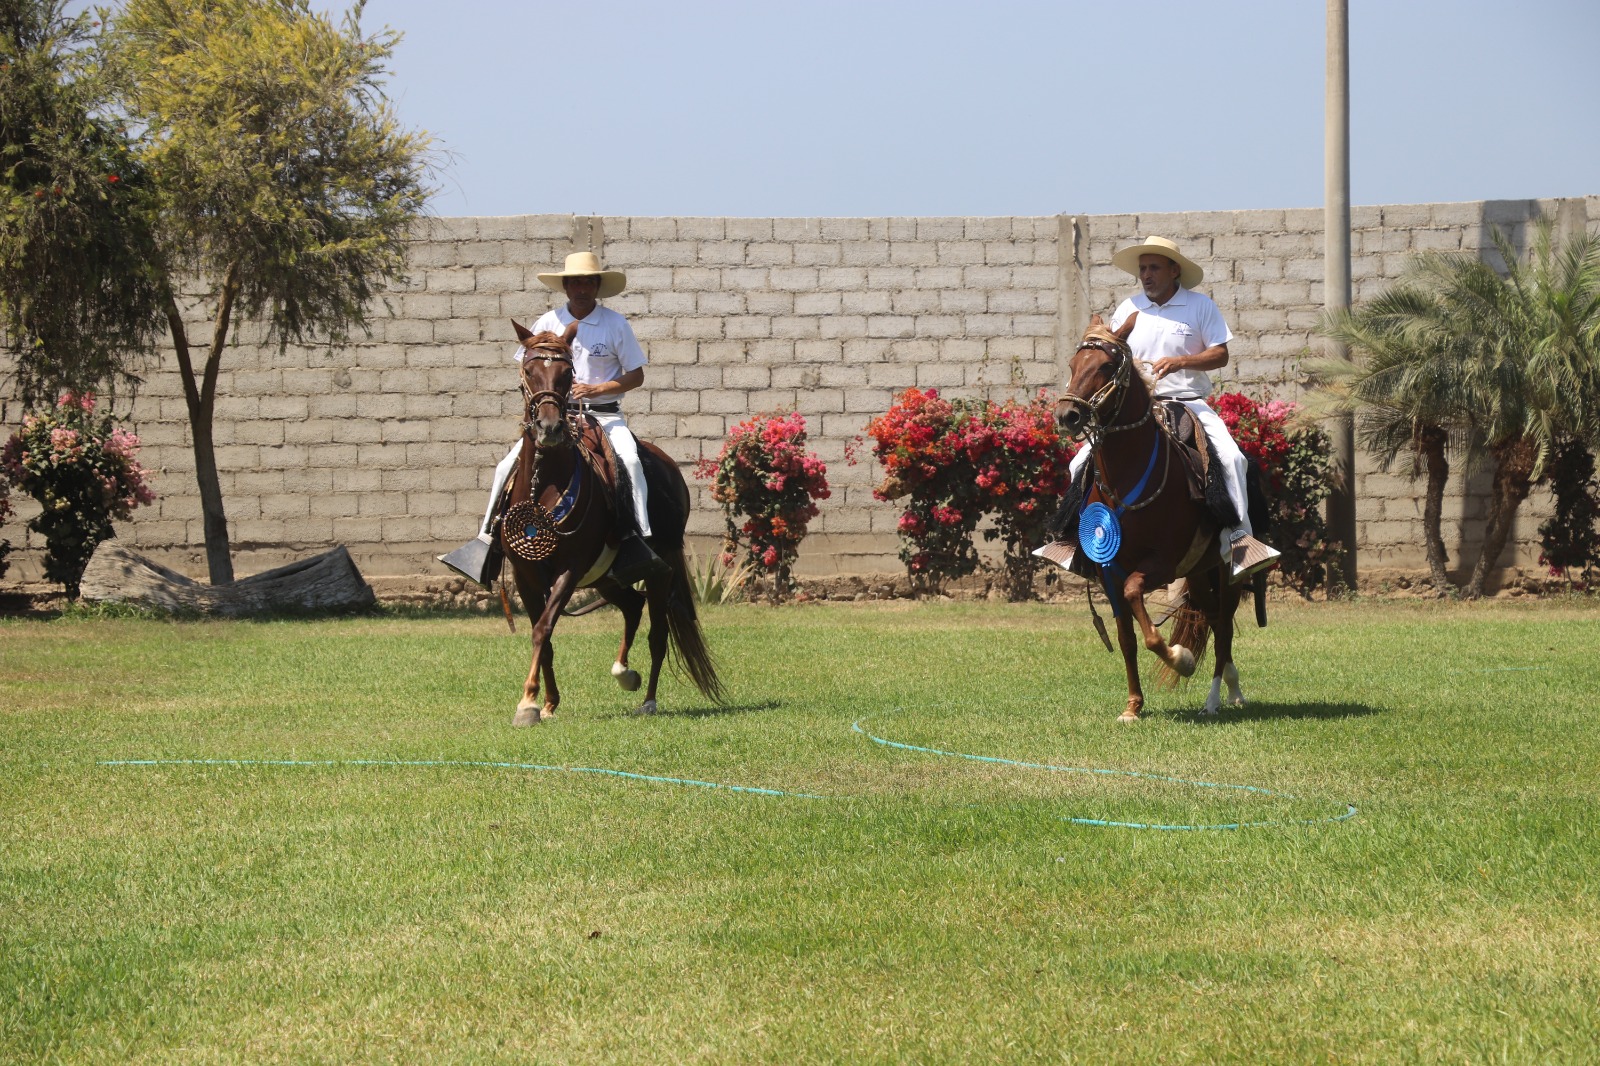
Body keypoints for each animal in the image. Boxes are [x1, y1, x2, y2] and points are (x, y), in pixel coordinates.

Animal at [500, 320, 722, 726]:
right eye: (529, 370)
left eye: (567, 373)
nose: (549, 428)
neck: (546, 484)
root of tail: (670, 468)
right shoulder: (526, 574)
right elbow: (545, 636)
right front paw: (546, 703)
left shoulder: (570, 569)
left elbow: (543, 628)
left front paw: (527, 703)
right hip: (605, 576)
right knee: (633, 606)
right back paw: (624, 673)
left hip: (660, 566)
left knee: (657, 631)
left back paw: (648, 700)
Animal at [1051, 313, 1258, 722]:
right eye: (1072, 364)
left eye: (1107, 366)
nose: (1068, 415)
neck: (1127, 476)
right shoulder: (1109, 571)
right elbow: (1126, 638)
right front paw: (1133, 705)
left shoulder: (1161, 563)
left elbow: (1139, 602)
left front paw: (1181, 659)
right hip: (1198, 572)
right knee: (1213, 620)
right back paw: (1226, 689)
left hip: (1226, 573)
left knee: (1224, 626)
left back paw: (1218, 697)